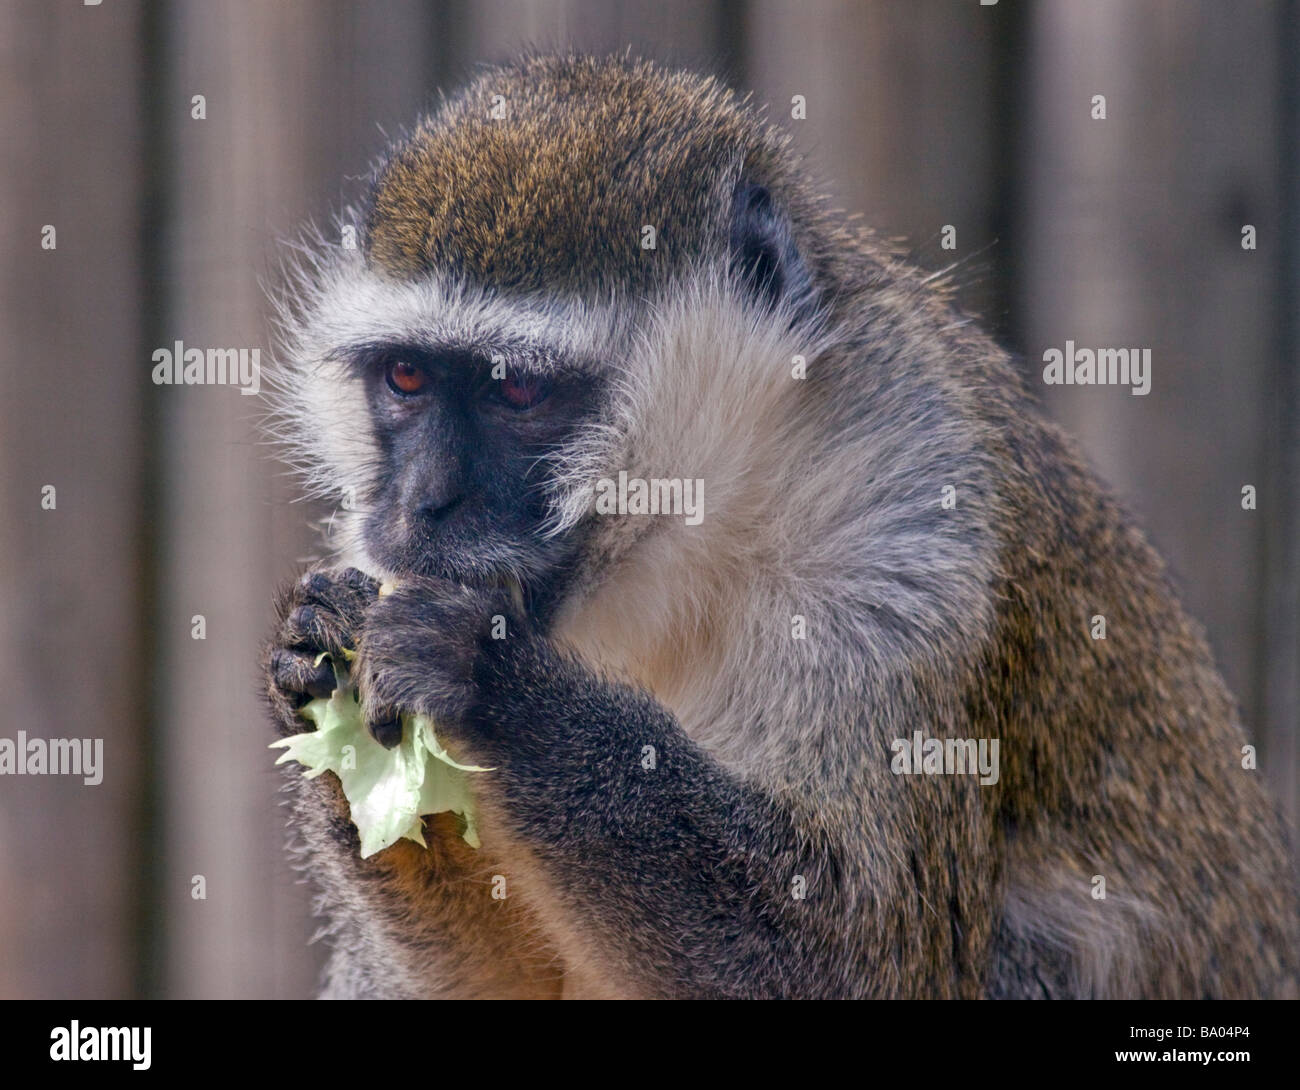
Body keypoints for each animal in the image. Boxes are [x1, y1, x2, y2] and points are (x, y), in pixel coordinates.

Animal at [261, 52, 1299, 999]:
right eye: (405, 377)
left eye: (516, 390)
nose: (419, 502)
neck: (701, 526)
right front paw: (314, 654)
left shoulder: (913, 517)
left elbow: (862, 957)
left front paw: (484, 672)